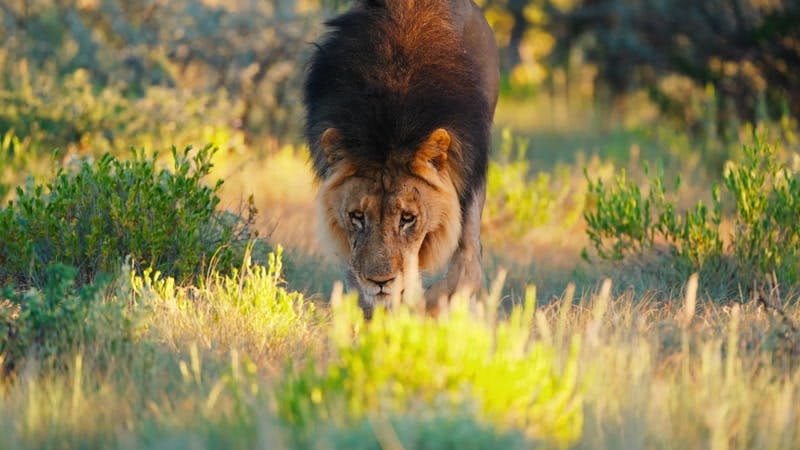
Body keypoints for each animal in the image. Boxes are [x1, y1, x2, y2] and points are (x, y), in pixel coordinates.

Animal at [304, 0, 499, 317]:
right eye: (357, 216)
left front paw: (428, 307)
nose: (381, 281)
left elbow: (467, 267)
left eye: (408, 218)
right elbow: (357, 280)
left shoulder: (470, 181)